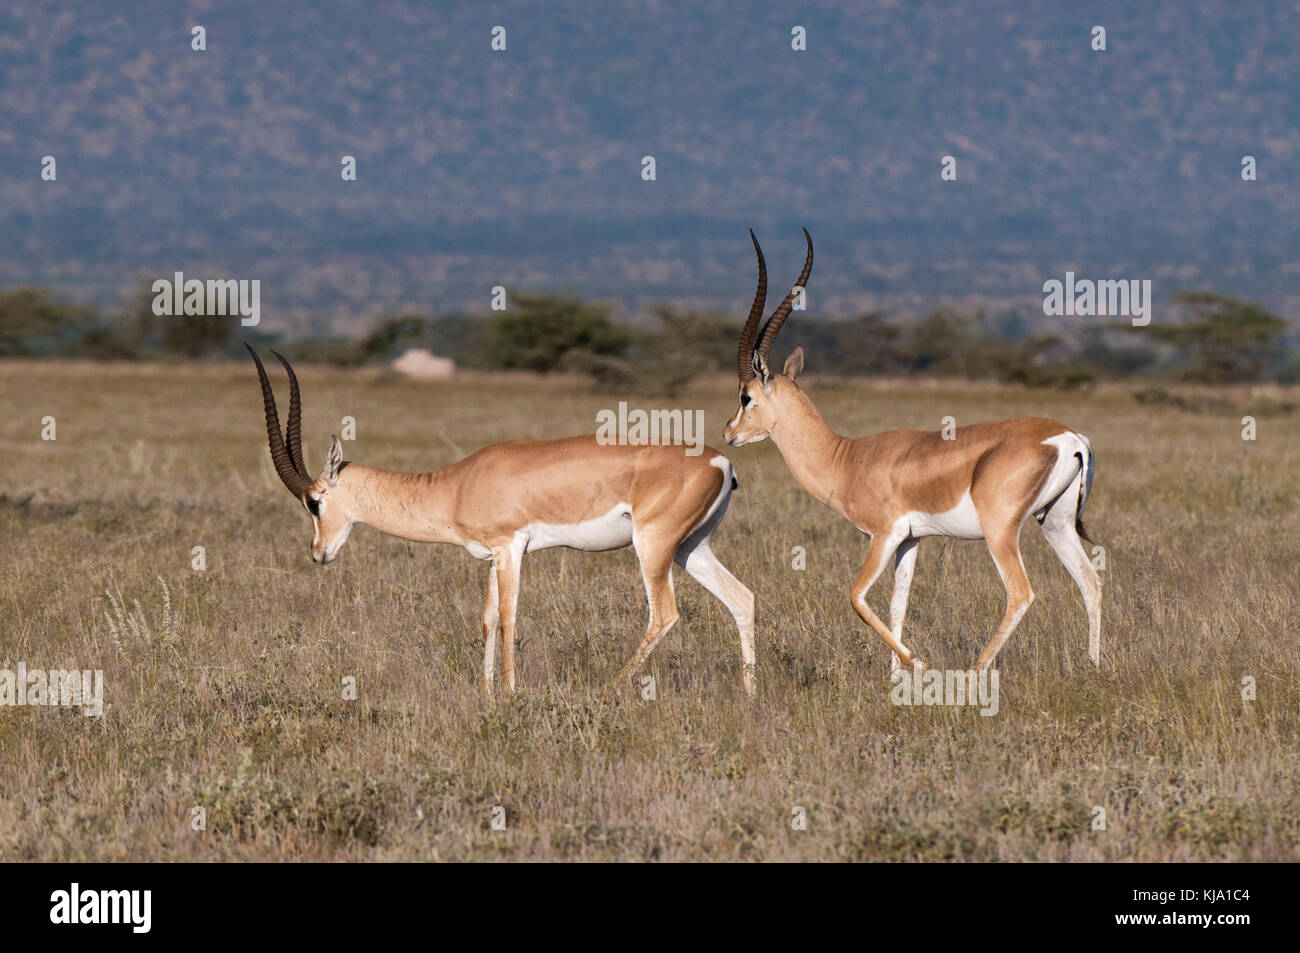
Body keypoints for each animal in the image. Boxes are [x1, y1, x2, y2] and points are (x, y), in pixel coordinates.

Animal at [246, 346, 757, 696]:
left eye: (314, 502)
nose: (318, 554)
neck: (455, 485)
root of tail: (720, 462)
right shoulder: (492, 556)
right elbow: (488, 619)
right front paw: (488, 692)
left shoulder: (511, 547)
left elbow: (510, 617)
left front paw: (510, 692)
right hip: (691, 549)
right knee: (742, 598)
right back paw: (750, 694)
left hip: (652, 547)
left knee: (664, 613)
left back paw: (612, 688)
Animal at [723, 231, 1101, 674]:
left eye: (746, 396)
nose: (729, 433)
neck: (846, 459)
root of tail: (1069, 438)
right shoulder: (910, 541)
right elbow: (896, 606)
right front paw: (896, 677)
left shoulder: (883, 535)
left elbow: (856, 597)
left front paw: (917, 664)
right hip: (1055, 523)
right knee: (1091, 581)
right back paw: (1096, 668)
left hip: (1000, 531)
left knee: (1021, 593)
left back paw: (975, 672)